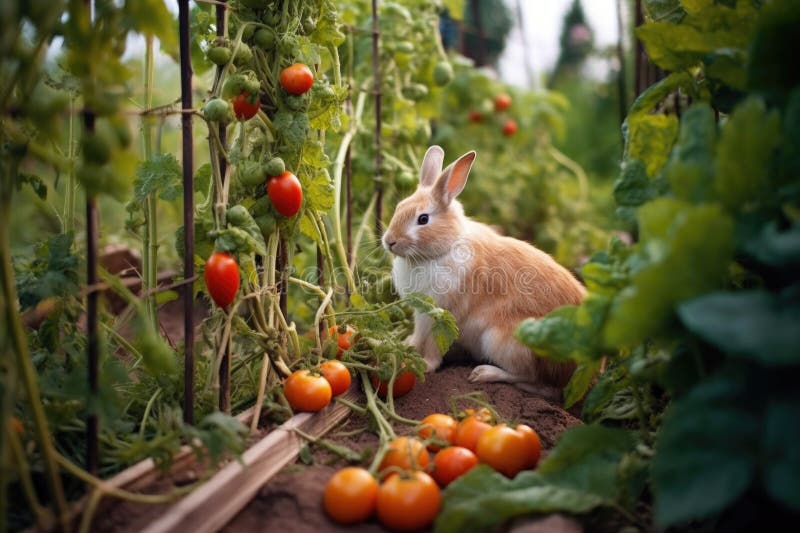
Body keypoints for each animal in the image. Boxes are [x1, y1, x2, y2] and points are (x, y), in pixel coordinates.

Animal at [382, 146, 586, 400]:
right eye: (399, 206)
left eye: (423, 219)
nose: (389, 241)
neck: (444, 248)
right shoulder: (421, 313)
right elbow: (419, 335)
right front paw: (407, 345)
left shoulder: (444, 313)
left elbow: (434, 344)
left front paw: (427, 365)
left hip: (502, 341)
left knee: (535, 381)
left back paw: (483, 374)